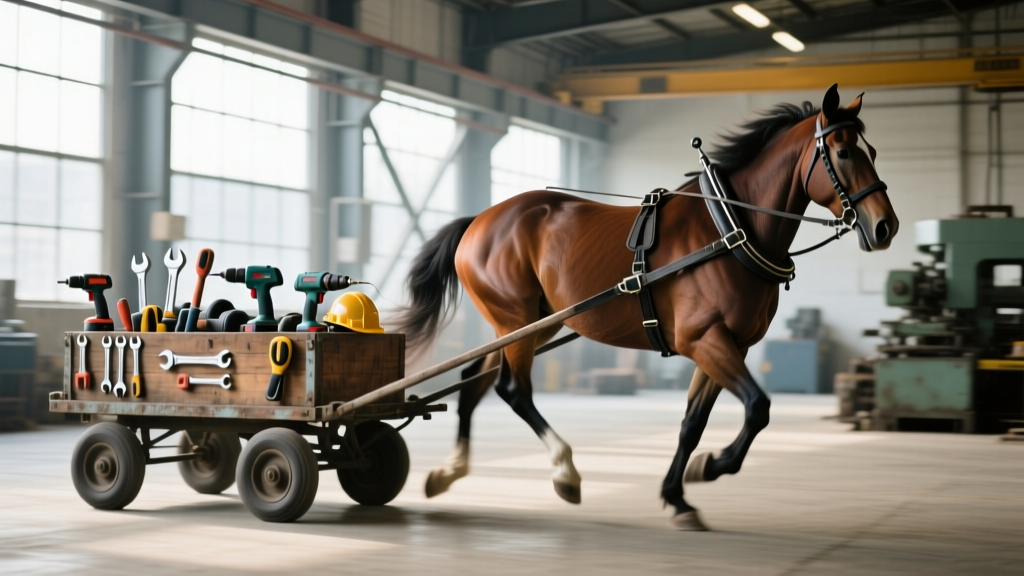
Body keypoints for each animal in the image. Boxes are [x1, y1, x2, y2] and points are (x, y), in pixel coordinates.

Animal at [392, 85, 899, 531]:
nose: (885, 227)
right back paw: (564, 471)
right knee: (513, 390)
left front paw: (679, 495)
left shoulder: (729, 345)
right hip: (517, 321)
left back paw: (449, 472)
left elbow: (693, 422)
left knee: (472, 384)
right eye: (844, 153)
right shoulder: (703, 340)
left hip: (529, 324)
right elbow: (758, 407)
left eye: (872, 149)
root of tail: (480, 219)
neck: (731, 230)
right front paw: (712, 466)